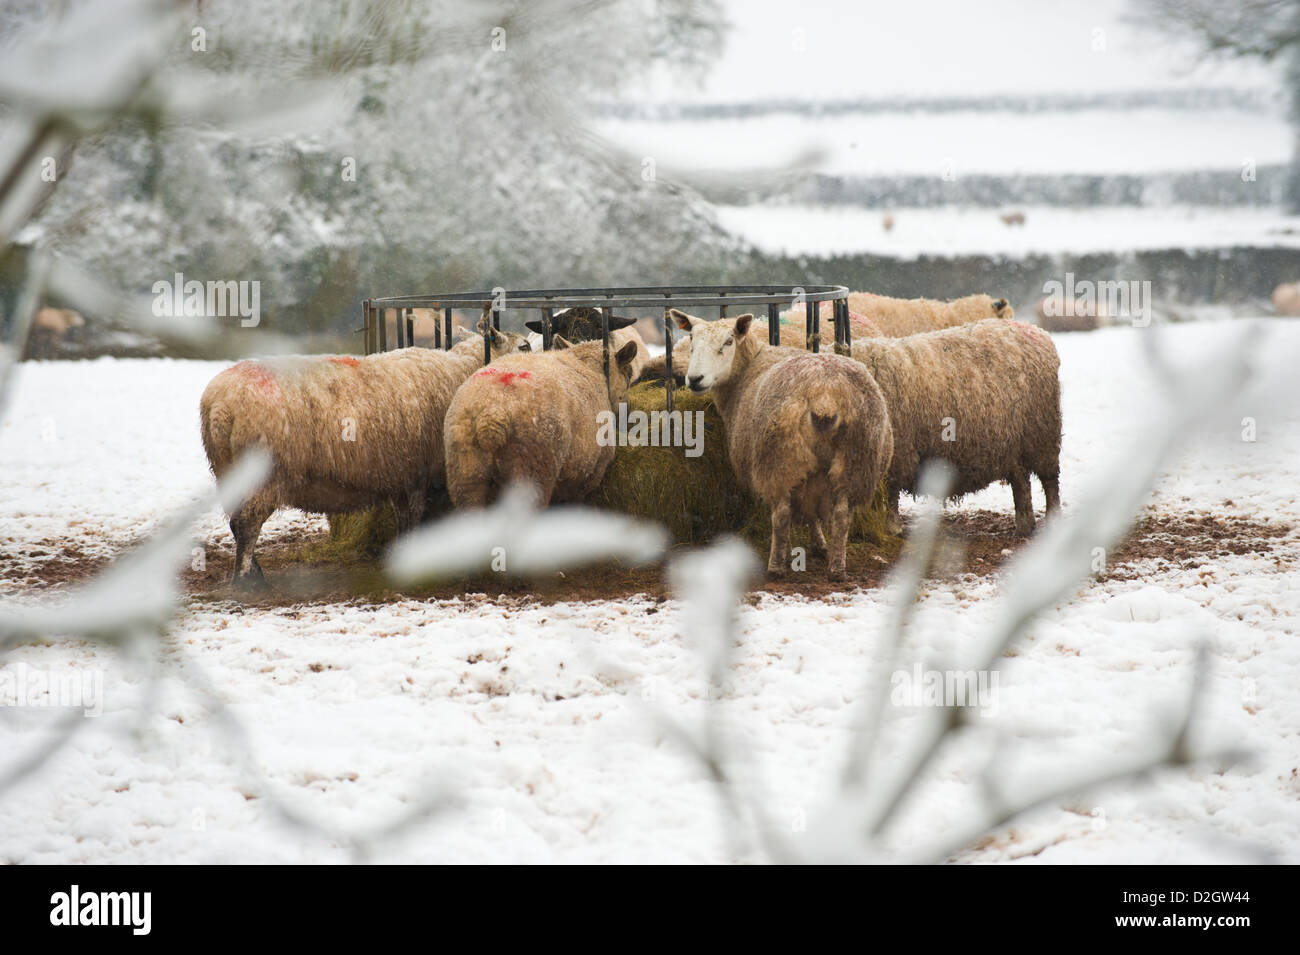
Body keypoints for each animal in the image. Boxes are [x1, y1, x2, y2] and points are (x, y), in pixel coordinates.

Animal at [200, 324, 527, 588]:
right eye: (524, 346)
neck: (460, 371)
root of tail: (219, 407)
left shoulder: (402, 472)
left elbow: (403, 516)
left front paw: (400, 552)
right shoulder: (417, 472)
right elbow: (414, 515)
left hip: (226, 468)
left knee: (236, 522)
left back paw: (253, 572)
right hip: (263, 472)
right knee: (247, 523)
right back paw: (247, 581)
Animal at [444, 337, 641, 509]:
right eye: (629, 374)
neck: (589, 368)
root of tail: (491, 412)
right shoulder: (585, 479)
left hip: (464, 474)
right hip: (531, 469)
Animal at [672, 309, 893, 580]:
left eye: (728, 341)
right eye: (691, 339)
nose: (695, 379)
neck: (746, 371)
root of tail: (825, 394)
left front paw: (791, 552)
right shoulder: (813, 472)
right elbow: (811, 512)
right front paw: (820, 545)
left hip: (780, 458)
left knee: (781, 513)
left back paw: (776, 566)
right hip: (858, 458)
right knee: (842, 514)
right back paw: (837, 568)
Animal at [850, 319, 1061, 536]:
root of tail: (1037, 331)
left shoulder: (898, 454)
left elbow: (891, 495)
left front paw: (892, 527)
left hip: (1042, 436)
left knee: (1050, 482)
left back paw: (1052, 521)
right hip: (1015, 446)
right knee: (1021, 483)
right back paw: (1025, 525)